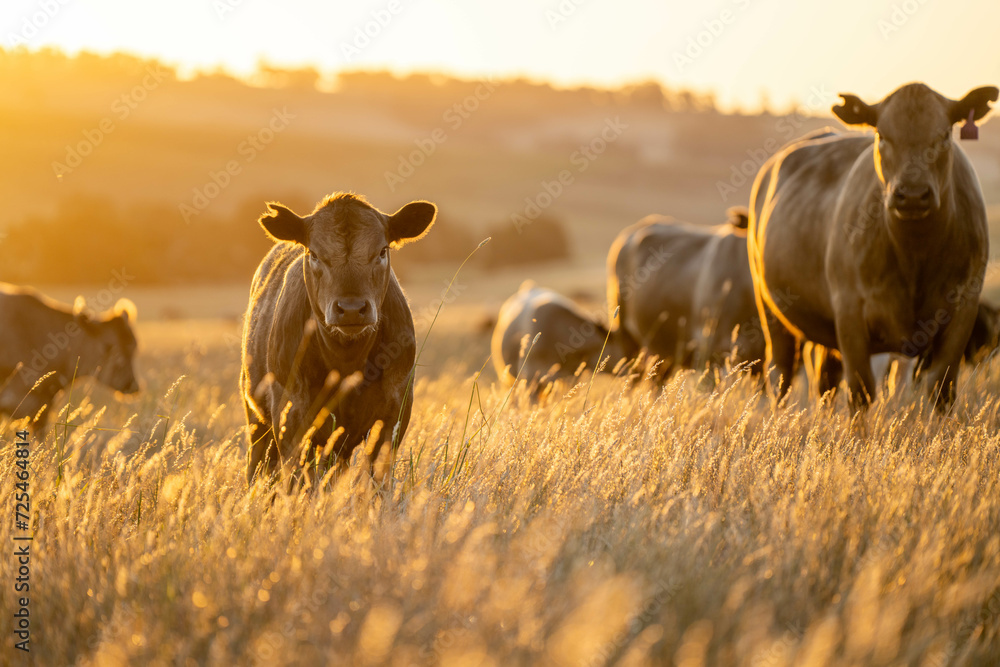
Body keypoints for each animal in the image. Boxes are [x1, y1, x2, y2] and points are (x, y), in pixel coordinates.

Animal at [241, 192, 436, 487]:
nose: (352, 308)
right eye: (313, 254)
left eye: (382, 251)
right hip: (256, 417)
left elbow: (375, 482)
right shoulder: (290, 414)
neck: (346, 360)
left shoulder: (393, 413)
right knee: (259, 464)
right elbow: (297, 481)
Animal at [748, 83, 998, 409]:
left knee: (824, 378)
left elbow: (942, 388)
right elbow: (861, 391)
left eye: (944, 135)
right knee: (782, 374)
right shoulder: (849, 312)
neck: (915, 253)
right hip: (771, 311)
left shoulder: (962, 311)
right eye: (882, 135)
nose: (913, 194)